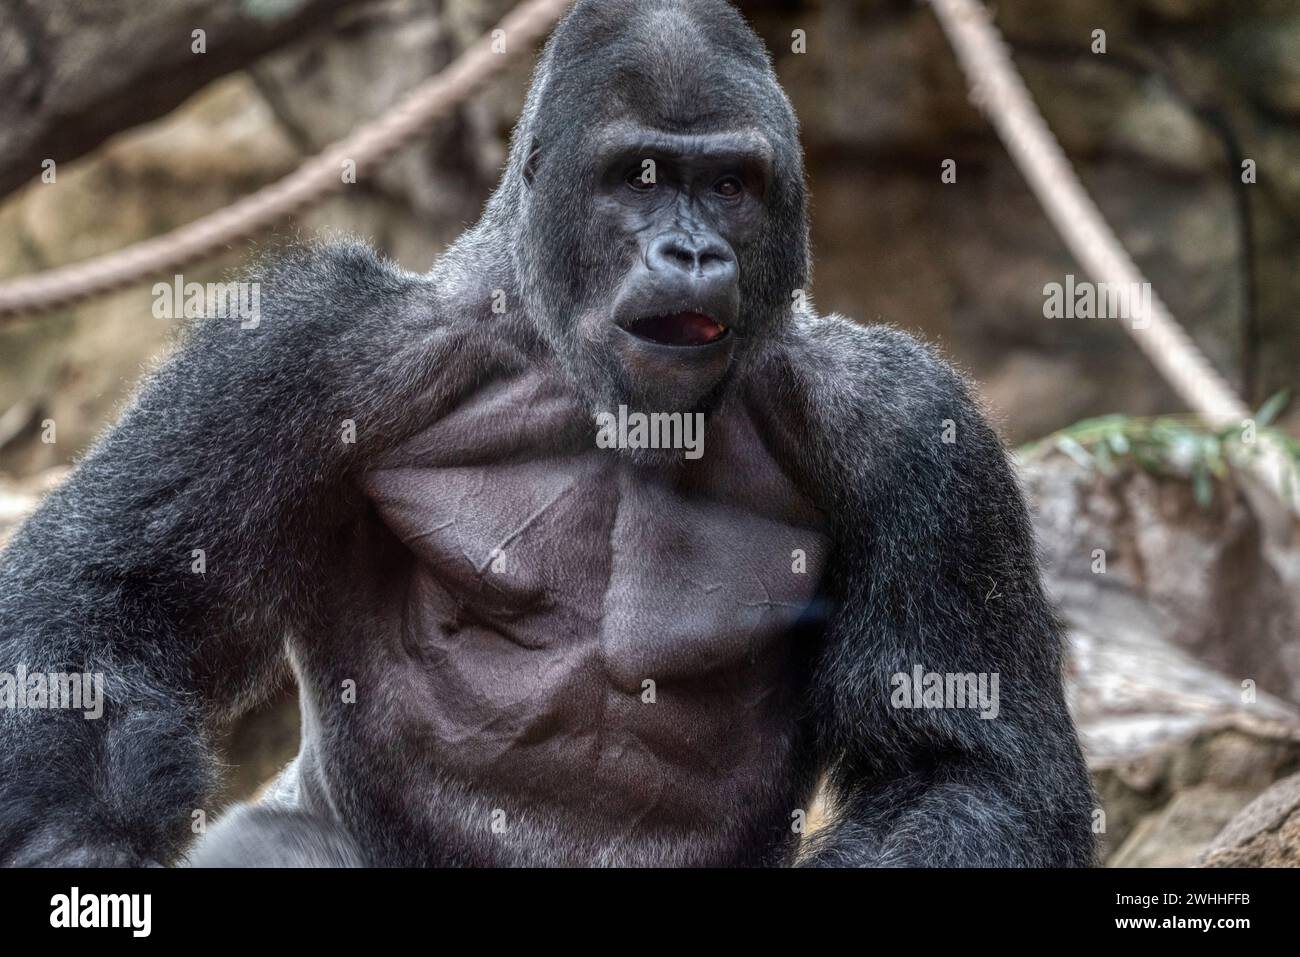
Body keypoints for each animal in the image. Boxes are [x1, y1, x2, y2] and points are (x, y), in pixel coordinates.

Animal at [0, 0, 1096, 867]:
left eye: (730, 185)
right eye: (641, 177)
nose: (692, 252)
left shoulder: (907, 426)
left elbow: (965, 769)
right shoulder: (305, 350)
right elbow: (94, 623)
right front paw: (78, 851)